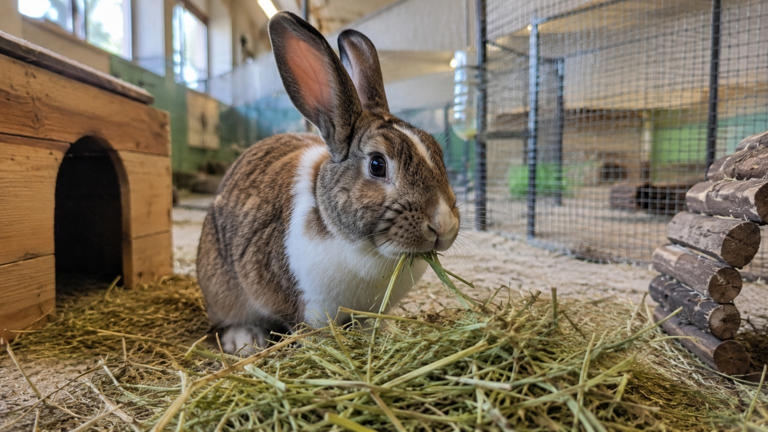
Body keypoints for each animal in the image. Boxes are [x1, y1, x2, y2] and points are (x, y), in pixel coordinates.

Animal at [196, 11, 460, 354]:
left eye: (437, 151)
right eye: (377, 165)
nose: (444, 227)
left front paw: (387, 334)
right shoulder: (311, 304)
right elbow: (312, 329)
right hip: (221, 287)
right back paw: (245, 341)